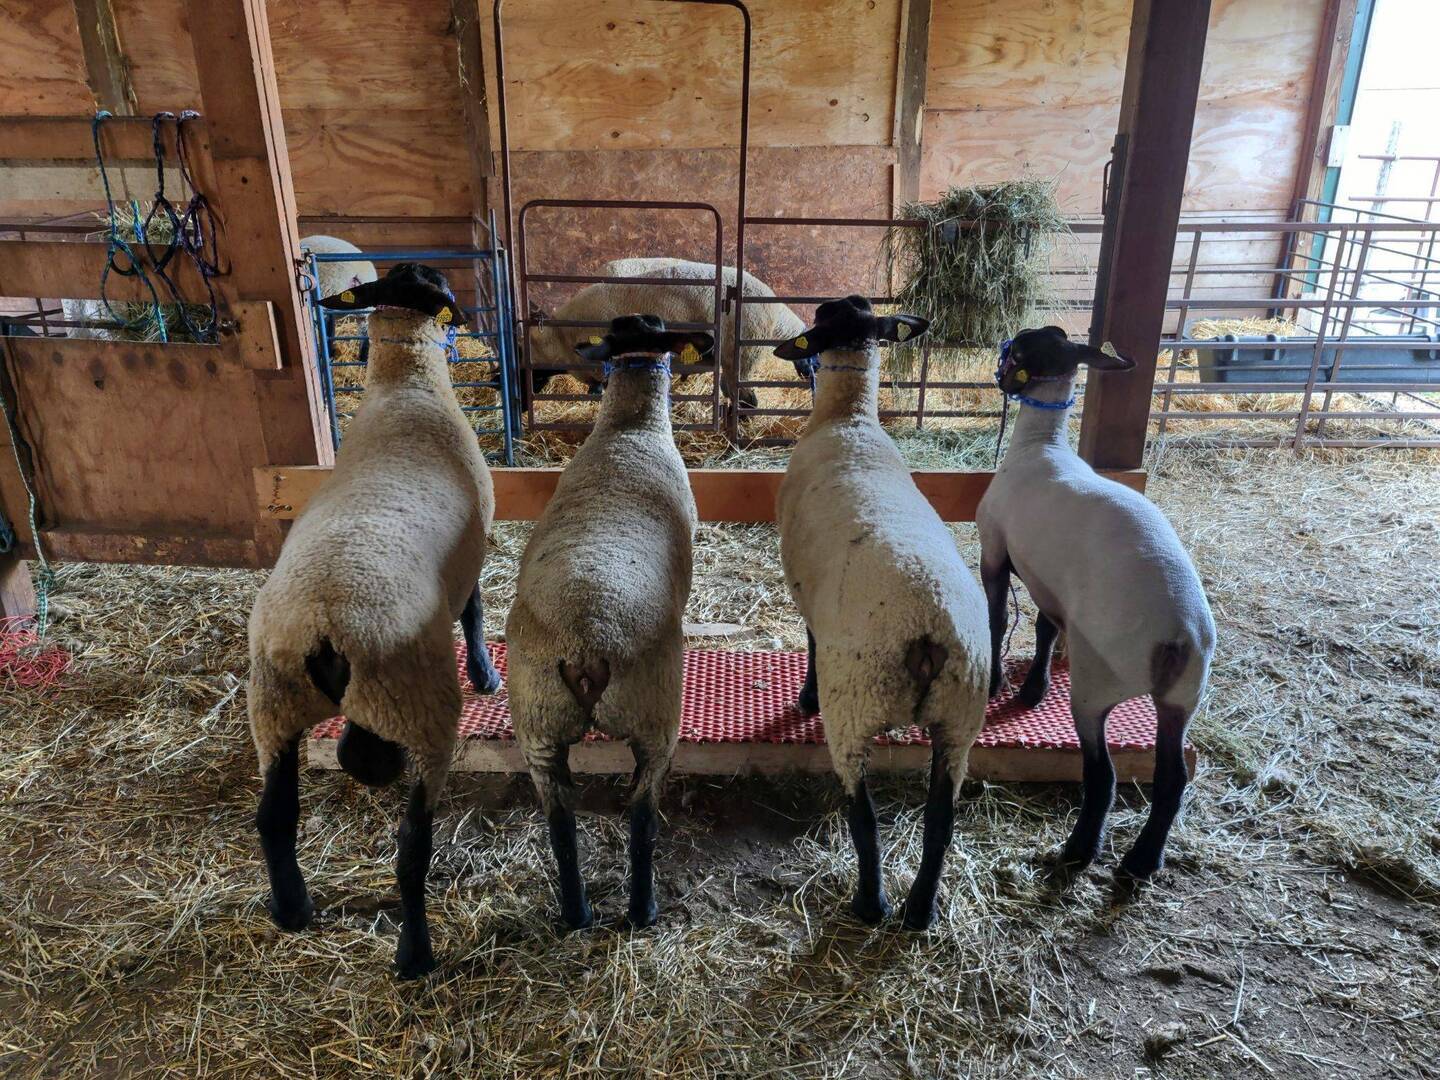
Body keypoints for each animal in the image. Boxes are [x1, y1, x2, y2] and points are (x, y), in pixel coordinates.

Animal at [246, 262, 501, 979]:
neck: (406, 388)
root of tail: (325, 628)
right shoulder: (474, 547)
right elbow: (473, 610)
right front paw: (486, 674)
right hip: (419, 705)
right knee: (411, 845)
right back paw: (415, 952)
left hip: (272, 706)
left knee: (274, 817)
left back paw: (292, 910)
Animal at [505, 313, 712, 931]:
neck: (629, 430)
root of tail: (586, 640)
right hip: (655, 715)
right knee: (642, 817)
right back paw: (642, 910)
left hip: (536, 722)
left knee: (560, 820)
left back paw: (576, 913)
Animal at [773, 295, 991, 930]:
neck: (849, 421)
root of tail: (928, 631)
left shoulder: (802, 584)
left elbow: (809, 639)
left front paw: (804, 697)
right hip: (961, 717)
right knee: (941, 820)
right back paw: (920, 910)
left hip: (855, 703)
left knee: (862, 814)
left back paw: (871, 904)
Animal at [976, 326, 1216, 879]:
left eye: (1020, 349)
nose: (999, 369)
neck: (1041, 445)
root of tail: (1177, 637)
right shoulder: (1049, 582)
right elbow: (1044, 629)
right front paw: (1033, 689)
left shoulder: (994, 549)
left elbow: (998, 618)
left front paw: (999, 682)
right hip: (1183, 699)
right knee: (1172, 780)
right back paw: (1142, 860)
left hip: (1096, 683)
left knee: (1102, 774)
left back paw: (1080, 849)